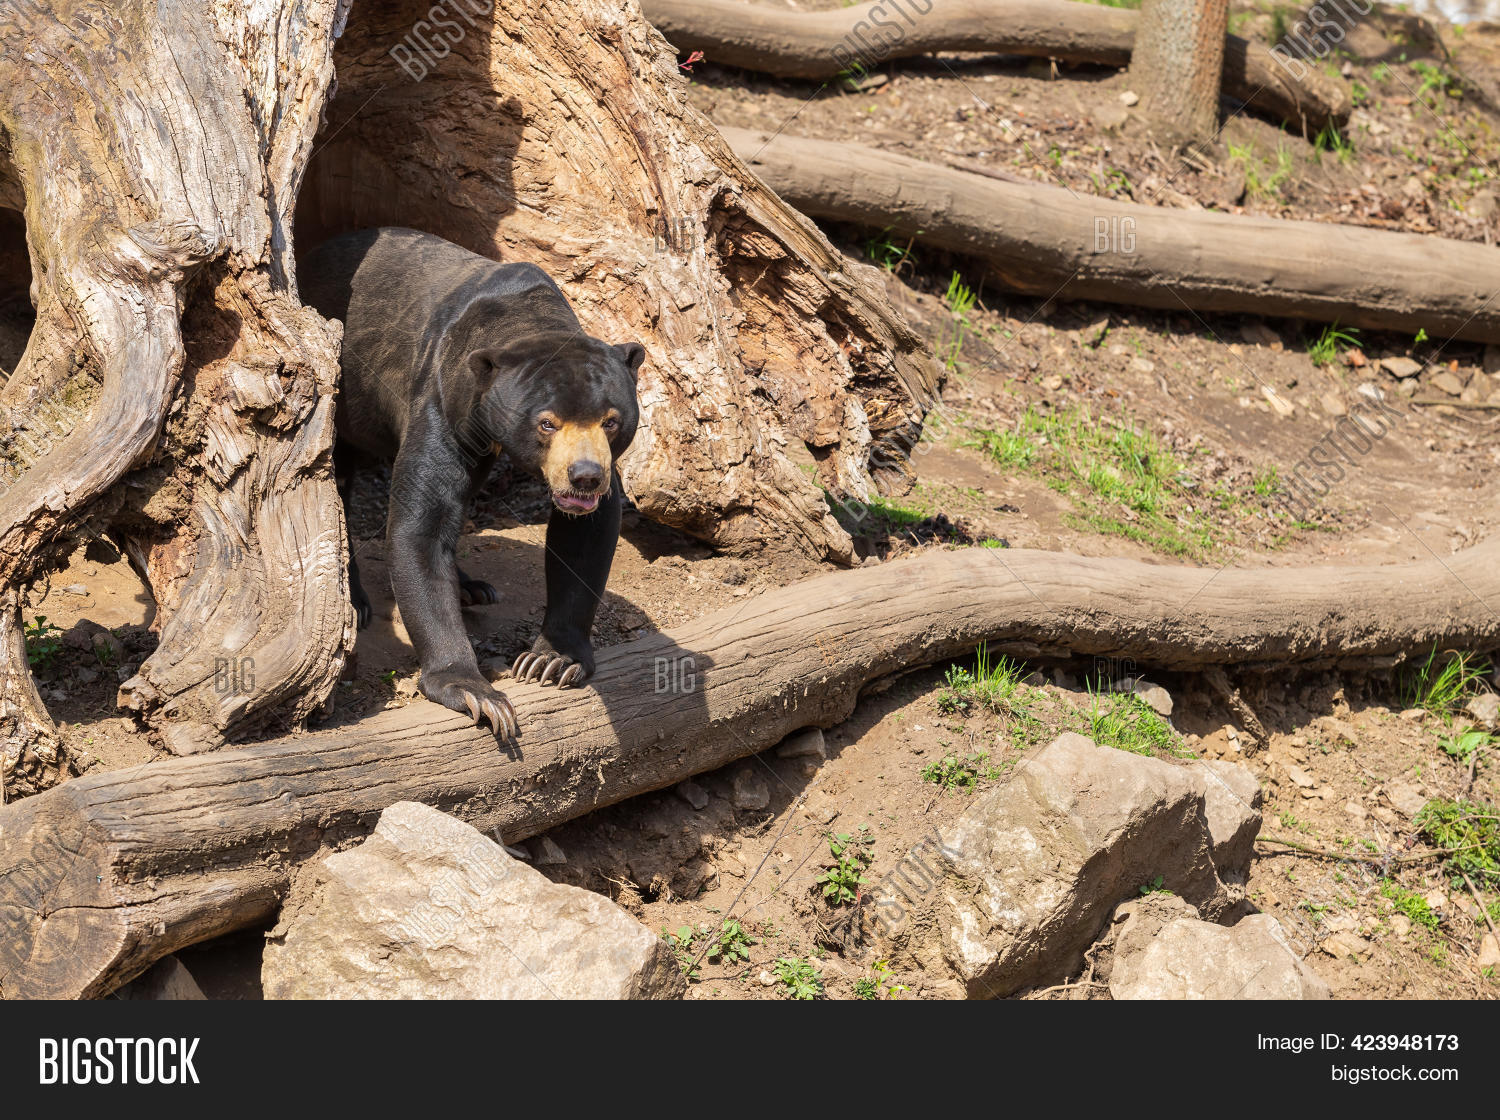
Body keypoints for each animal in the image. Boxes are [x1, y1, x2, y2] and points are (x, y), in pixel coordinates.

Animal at [300, 227, 644, 738]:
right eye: (546, 422)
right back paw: (358, 603)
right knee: (337, 480)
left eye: (611, 420)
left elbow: (587, 534)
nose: (585, 477)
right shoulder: (444, 400)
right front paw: (475, 692)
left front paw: (552, 662)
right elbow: (421, 528)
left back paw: (472, 587)